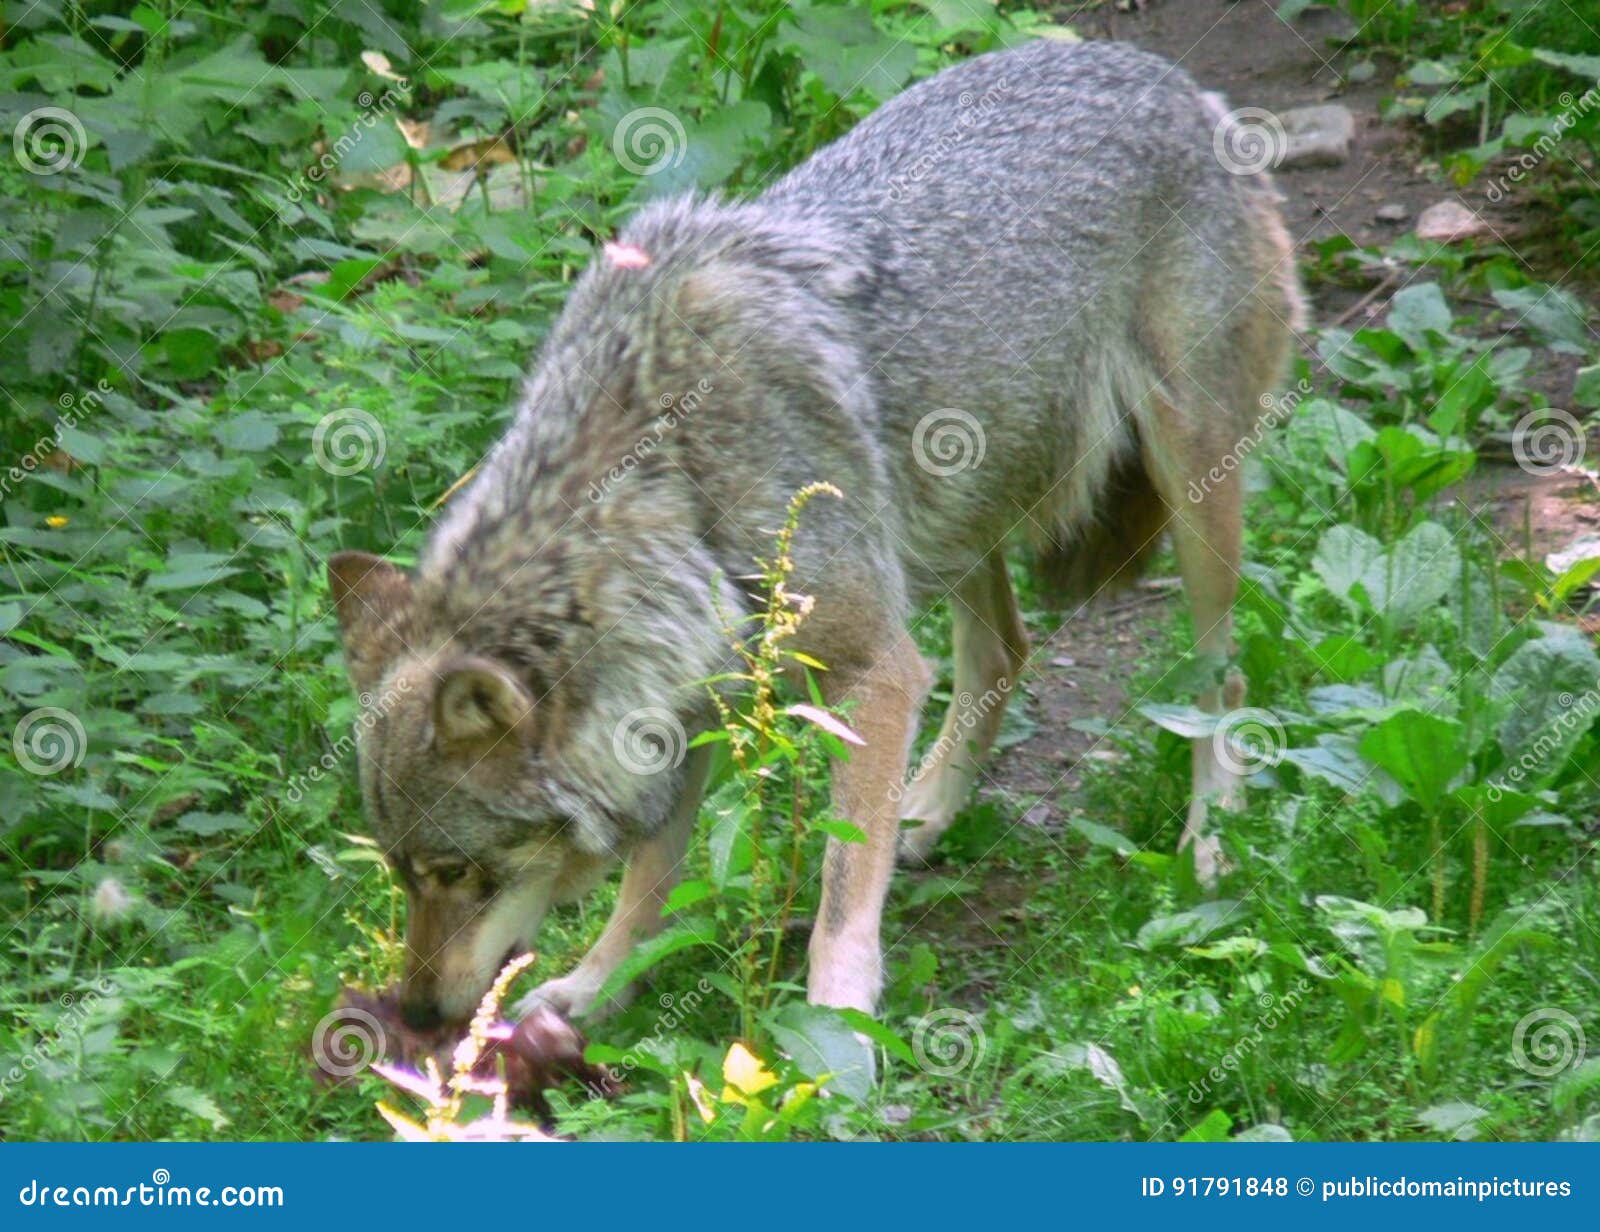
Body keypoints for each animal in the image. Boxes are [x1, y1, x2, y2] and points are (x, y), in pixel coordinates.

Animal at [328, 37, 1305, 1028]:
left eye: (456, 871)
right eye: (401, 874)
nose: (415, 1014)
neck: (667, 475)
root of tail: (1172, 80)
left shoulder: (875, 673)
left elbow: (839, 890)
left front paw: (834, 1028)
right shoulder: (687, 701)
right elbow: (650, 880)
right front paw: (596, 987)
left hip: (1188, 484)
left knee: (1222, 676)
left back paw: (1210, 842)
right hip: (944, 507)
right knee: (1006, 650)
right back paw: (924, 812)